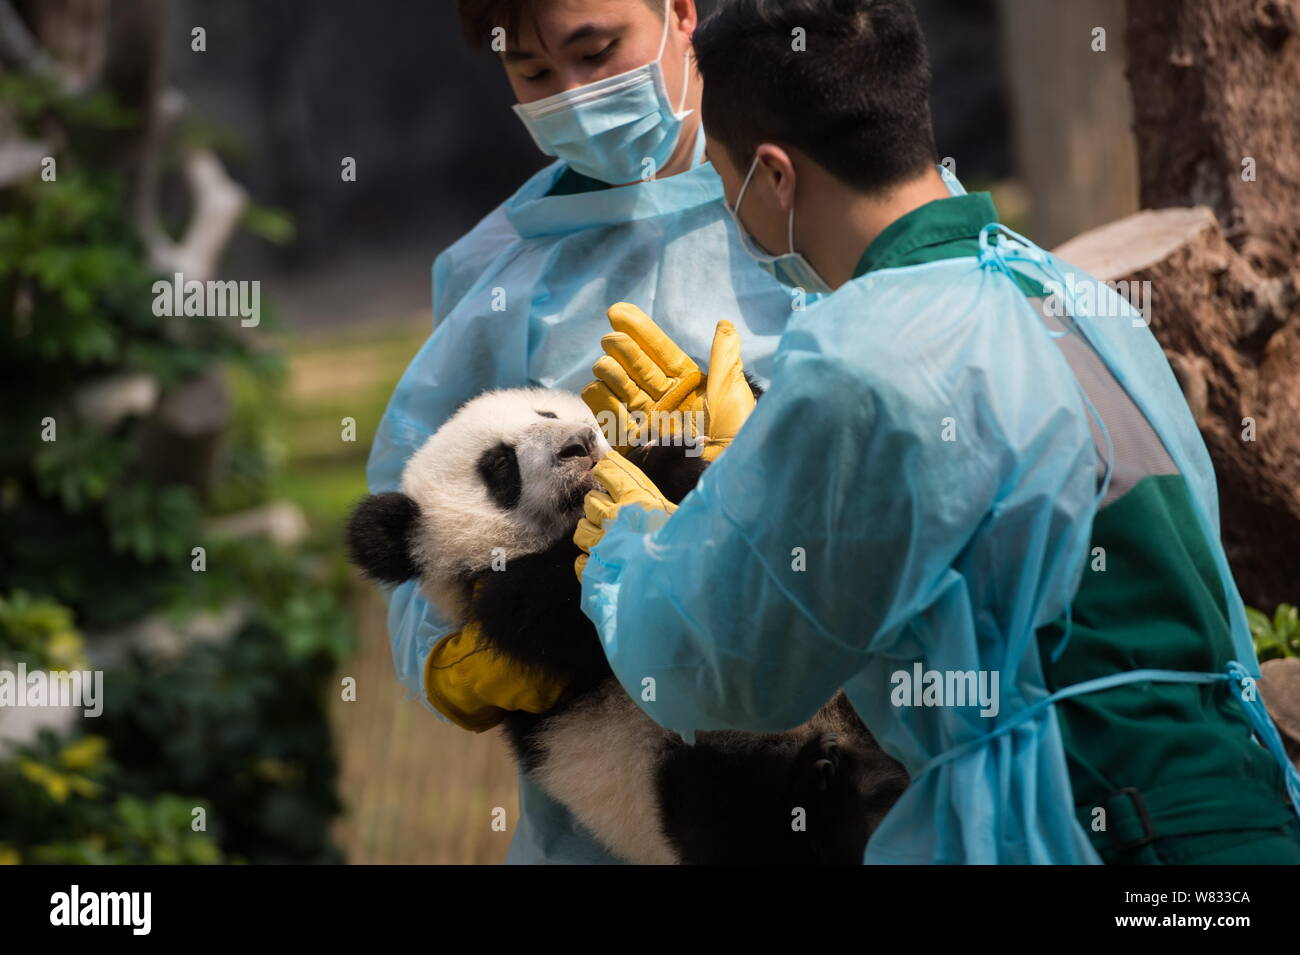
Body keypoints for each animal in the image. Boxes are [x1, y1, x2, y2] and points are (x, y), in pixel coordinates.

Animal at [347, 387, 907, 864]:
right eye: (499, 466)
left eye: (545, 413)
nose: (578, 445)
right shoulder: (511, 622)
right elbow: (570, 611)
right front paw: (661, 472)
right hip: (661, 769)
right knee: (731, 816)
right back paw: (829, 789)